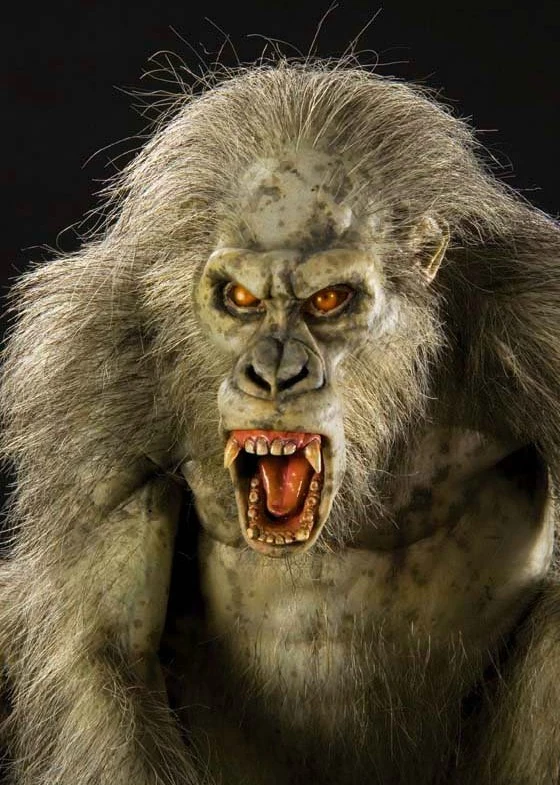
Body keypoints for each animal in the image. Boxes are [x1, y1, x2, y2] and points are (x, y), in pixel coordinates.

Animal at [0, 60, 559, 785]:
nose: (274, 372)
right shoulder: (87, 383)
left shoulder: (540, 324)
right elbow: (108, 651)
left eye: (329, 300)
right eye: (241, 297)